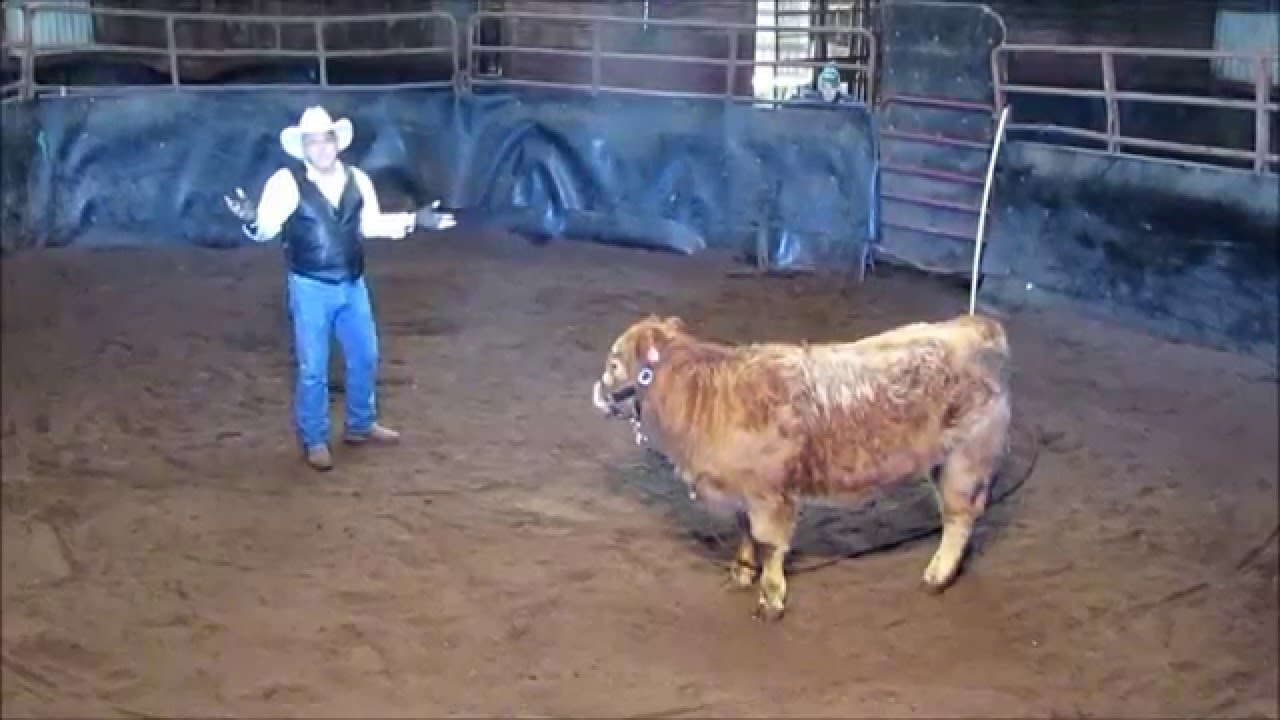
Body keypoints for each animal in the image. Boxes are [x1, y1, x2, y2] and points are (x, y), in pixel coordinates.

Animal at [591, 313, 1012, 621]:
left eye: (614, 362)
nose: (597, 390)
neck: (704, 397)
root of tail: (973, 327)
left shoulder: (769, 495)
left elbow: (770, 544)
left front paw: (771, 599)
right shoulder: (742, 494)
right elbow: (744, 533)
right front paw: (742, 573)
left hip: (966, 461)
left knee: (958, 517)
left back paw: (937, 575)